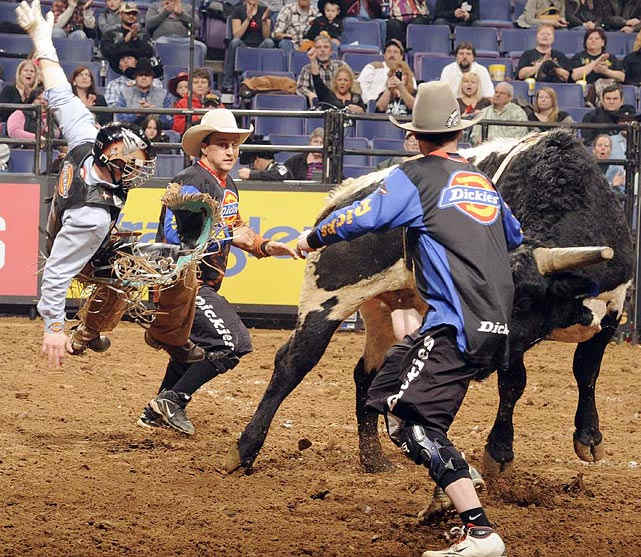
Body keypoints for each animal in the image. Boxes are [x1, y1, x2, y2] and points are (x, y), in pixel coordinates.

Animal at [225, 130, 634, 483]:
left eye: (524, 299)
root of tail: (339, 200)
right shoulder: (515, 342)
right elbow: (514, 382)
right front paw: (499, 453)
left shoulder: (612, 310)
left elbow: (586, 372)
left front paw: (589, 437)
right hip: (327, 297)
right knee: (293, 361)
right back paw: (244, 450)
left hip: (383, 309)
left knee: (367, 373)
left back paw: (373, 458)